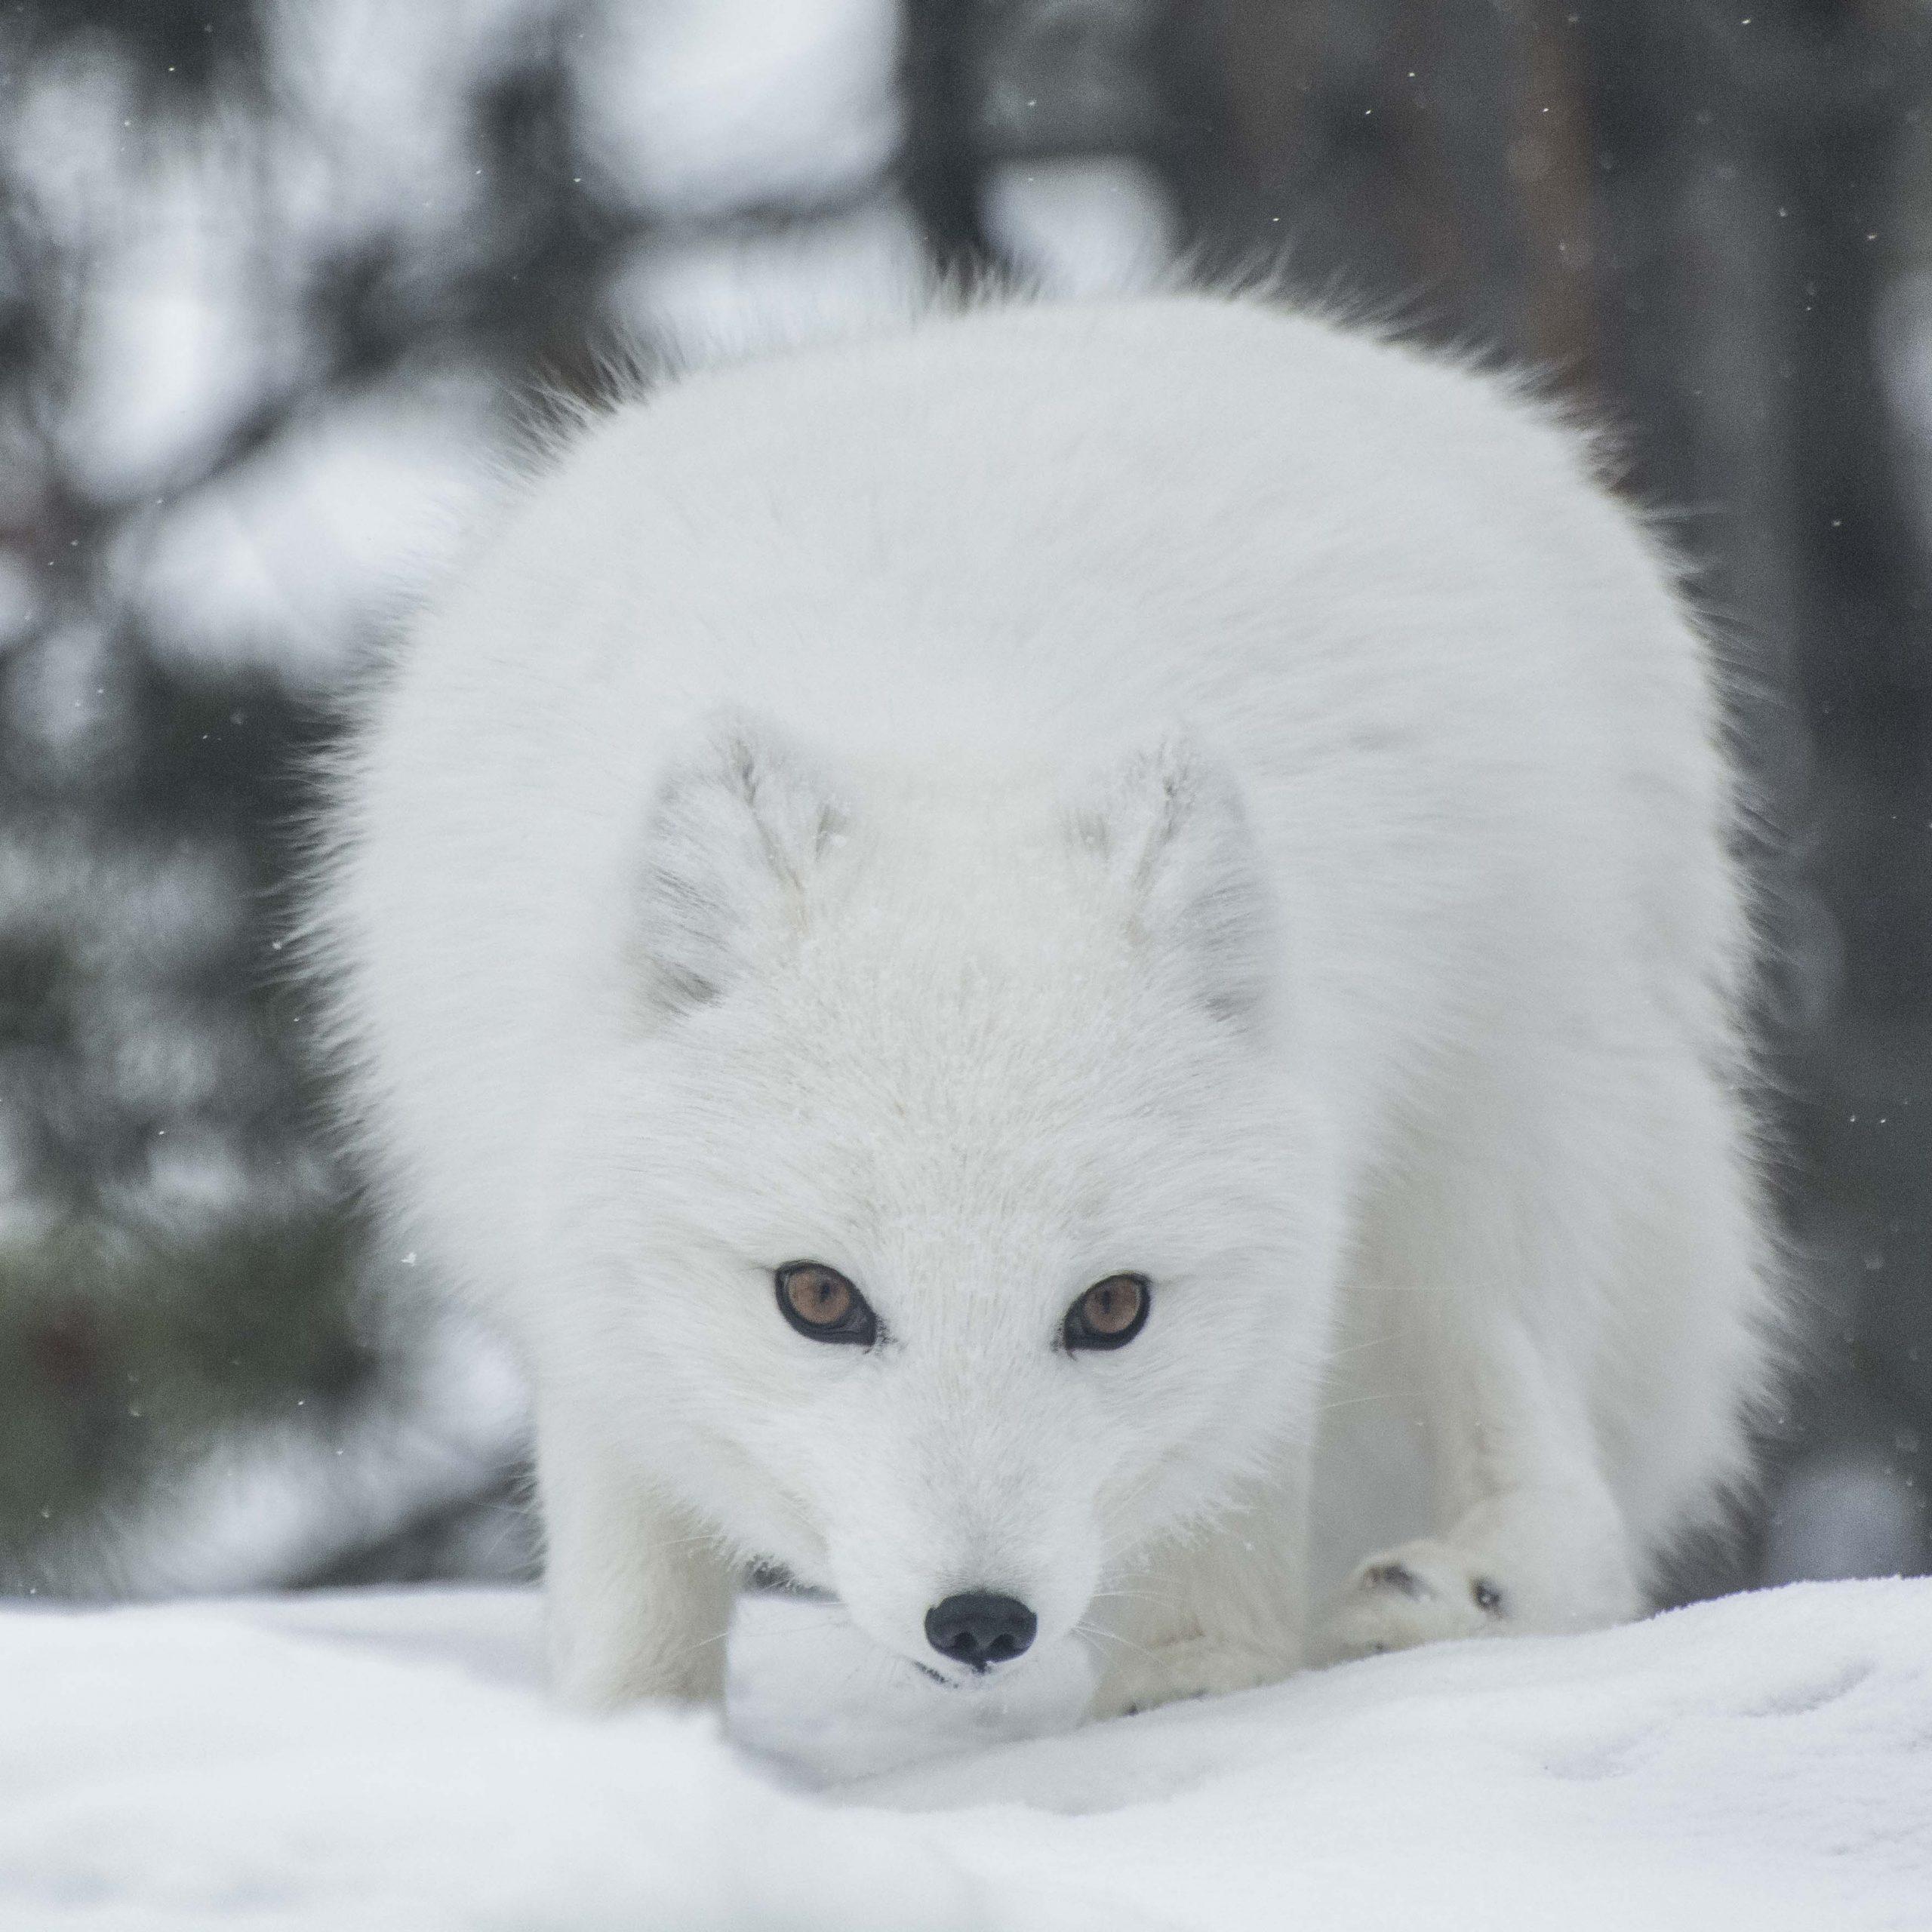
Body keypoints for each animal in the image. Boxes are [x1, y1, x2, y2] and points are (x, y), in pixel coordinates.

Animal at [317, 292, 1775, 1719]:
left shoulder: (1285, 1283)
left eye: (1114, 1308)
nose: (979, 1622)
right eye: (818, 1298)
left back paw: (1457, 1599)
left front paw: (1191, 1695)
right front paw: (643, 1747)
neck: (946, 711)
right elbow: (635, 1608)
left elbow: (1226, 1542)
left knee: (1568, 1489)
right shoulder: (577, 1292)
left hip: (1494, 1149)